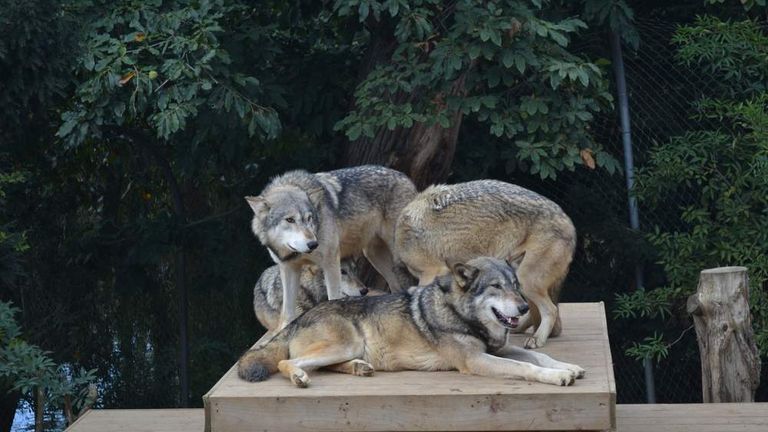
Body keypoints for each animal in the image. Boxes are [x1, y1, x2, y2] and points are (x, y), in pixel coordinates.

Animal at [237, 257, 585, 388]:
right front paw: (558, 377)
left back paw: (359, 368)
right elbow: (526, 366)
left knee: (326, 365)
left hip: (345, 349)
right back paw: (299, 376)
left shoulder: (496, 350)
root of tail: (297, 320)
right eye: (496, 287)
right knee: (288, 362)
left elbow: (540, 355)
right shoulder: (476, 360)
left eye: (515, 284)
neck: (459, 313)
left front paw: (568, 367)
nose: (524, 307)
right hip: (344, 342)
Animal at [246, 165, 417, 330]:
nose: (313, 244)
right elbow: (287, 314)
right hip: (373, 255)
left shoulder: (330, 261)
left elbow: (333, 298)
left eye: (309, 218)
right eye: (290, 220)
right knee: (395, 287)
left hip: (397, 252)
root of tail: (404, 176)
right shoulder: (288, 268)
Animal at [395, 180, 576, 349]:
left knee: (550, 310)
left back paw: (536, 339)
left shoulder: (431, 272)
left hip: (525, 281)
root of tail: (568, 221)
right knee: (534, 311)